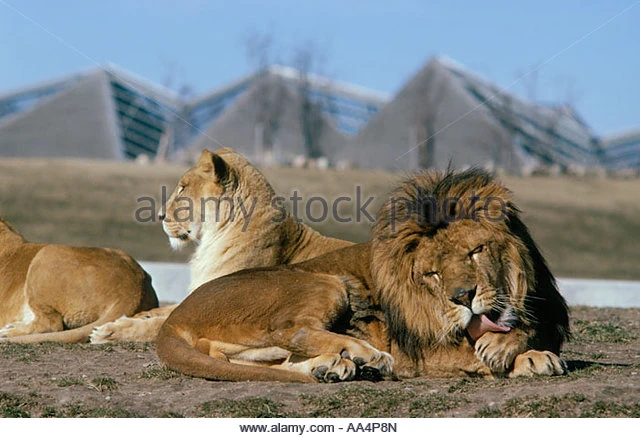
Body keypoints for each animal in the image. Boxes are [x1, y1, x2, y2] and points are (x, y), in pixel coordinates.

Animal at [90, 148, 352, 343]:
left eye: (183, 188)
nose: (160, 215)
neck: (213, 238)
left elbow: (158, 324)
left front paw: (110, 330)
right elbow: (162, 311)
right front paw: (138, 314)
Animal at [156, 168, 570, 382]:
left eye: (475, 251)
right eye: (433, 273)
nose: (464, 297)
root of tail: (175, 317)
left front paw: (521, 349)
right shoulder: (418, 349)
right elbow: (471, 355)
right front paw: (525, 358)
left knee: (263, 357)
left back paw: (331, 367)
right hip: (323, 282)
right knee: (292, 330)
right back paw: (365, 355)